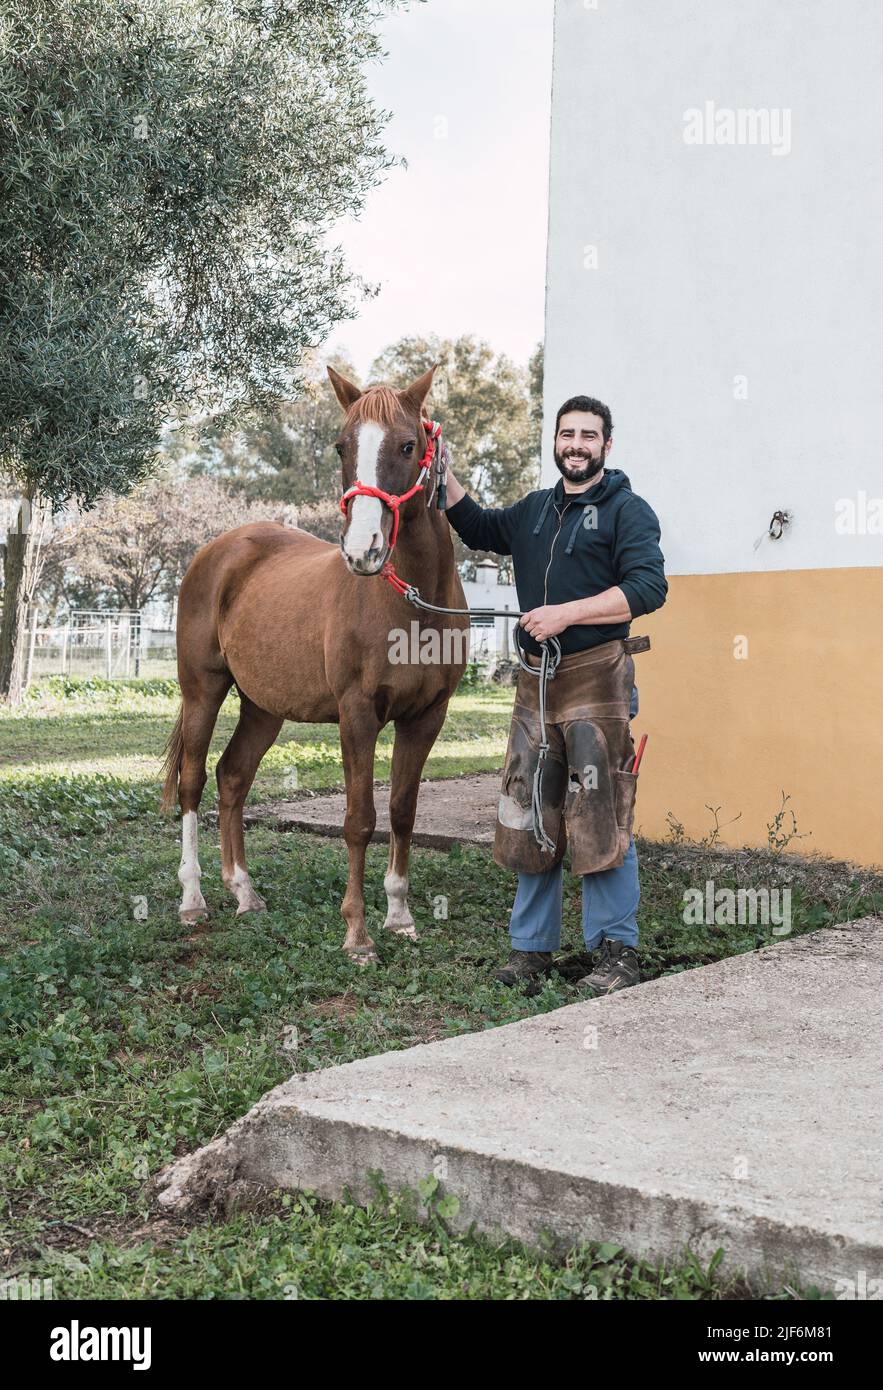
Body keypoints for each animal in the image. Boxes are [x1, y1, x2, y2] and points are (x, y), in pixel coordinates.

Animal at [161, 364, 469, 963]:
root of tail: (219, 550)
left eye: (408, 444)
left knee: (232, 776)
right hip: (202, 690)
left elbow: (402, 811)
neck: (410, 601)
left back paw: (244, 891)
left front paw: (400, 915)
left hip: (263, 707)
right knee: (192, 783)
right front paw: (358, 933)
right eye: (341, 446)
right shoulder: (357, 716)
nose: (362, 550)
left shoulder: (426, 718)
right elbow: (359, 820)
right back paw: (192, 900)